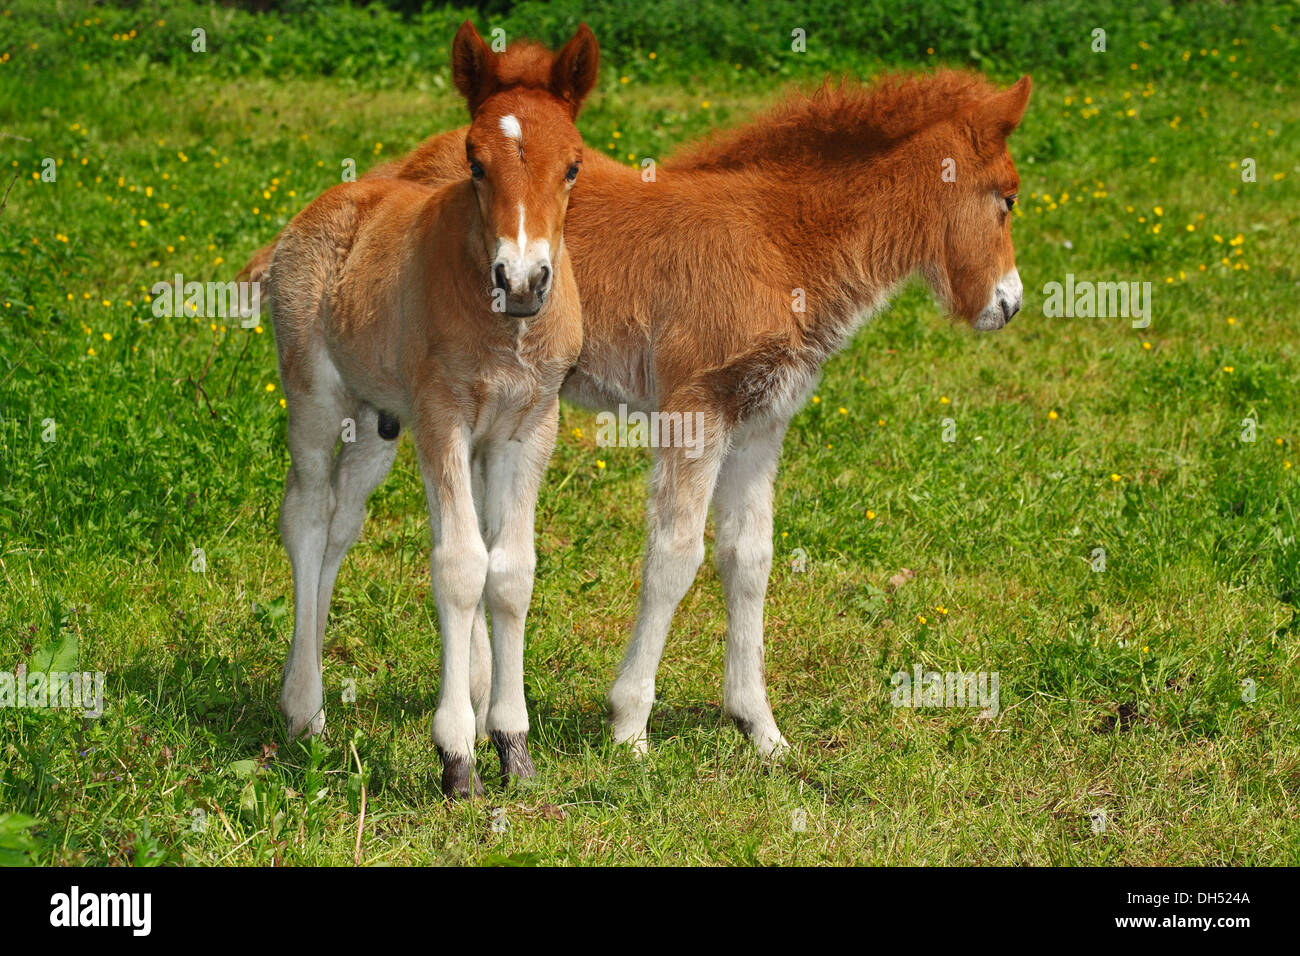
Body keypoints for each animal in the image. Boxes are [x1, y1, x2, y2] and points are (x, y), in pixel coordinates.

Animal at [245, 67, 1030, 761]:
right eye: (1009, 197)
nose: (1009, 304)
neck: (779, 239)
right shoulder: (696, 410)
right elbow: (676, 558)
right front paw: (630, 726)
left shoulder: (760, 420)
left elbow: (750, 557)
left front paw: (760, 729)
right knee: (319, 514)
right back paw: (324, 708)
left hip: (389, 406)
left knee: (350, 518)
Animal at [264, 20, 598, 797]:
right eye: (475, 162)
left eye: (573, 167)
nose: (523, 280)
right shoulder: (444, 418)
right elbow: (458, 566)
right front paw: (456, 754)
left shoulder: (527, 427)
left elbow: (509, 571)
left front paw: (510, 742)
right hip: (316, 401)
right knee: (307, 518)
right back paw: (305, 709)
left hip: (379, 428)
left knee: (343, 527)